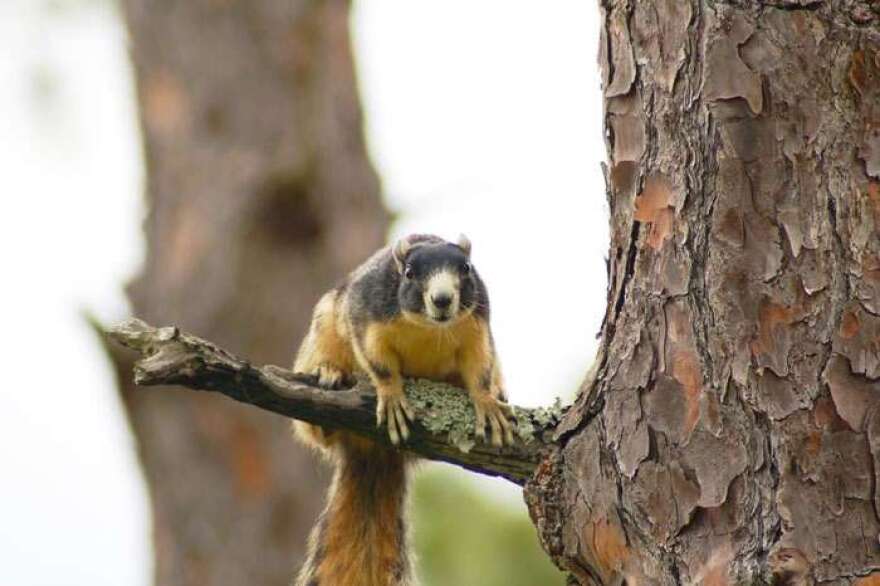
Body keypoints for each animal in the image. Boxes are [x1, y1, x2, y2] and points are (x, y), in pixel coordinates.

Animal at [291, 233, 514, 586]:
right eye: (409, 273)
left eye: (466, 268)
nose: (441, 299)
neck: (428, 327)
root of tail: (372, 451)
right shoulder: (366, 317)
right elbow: (378, 362)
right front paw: (393, 395)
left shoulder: (477, 326)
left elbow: (479, 367)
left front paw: (487, 401)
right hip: (323, 328)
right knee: (315, 427)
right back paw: (329, 375)